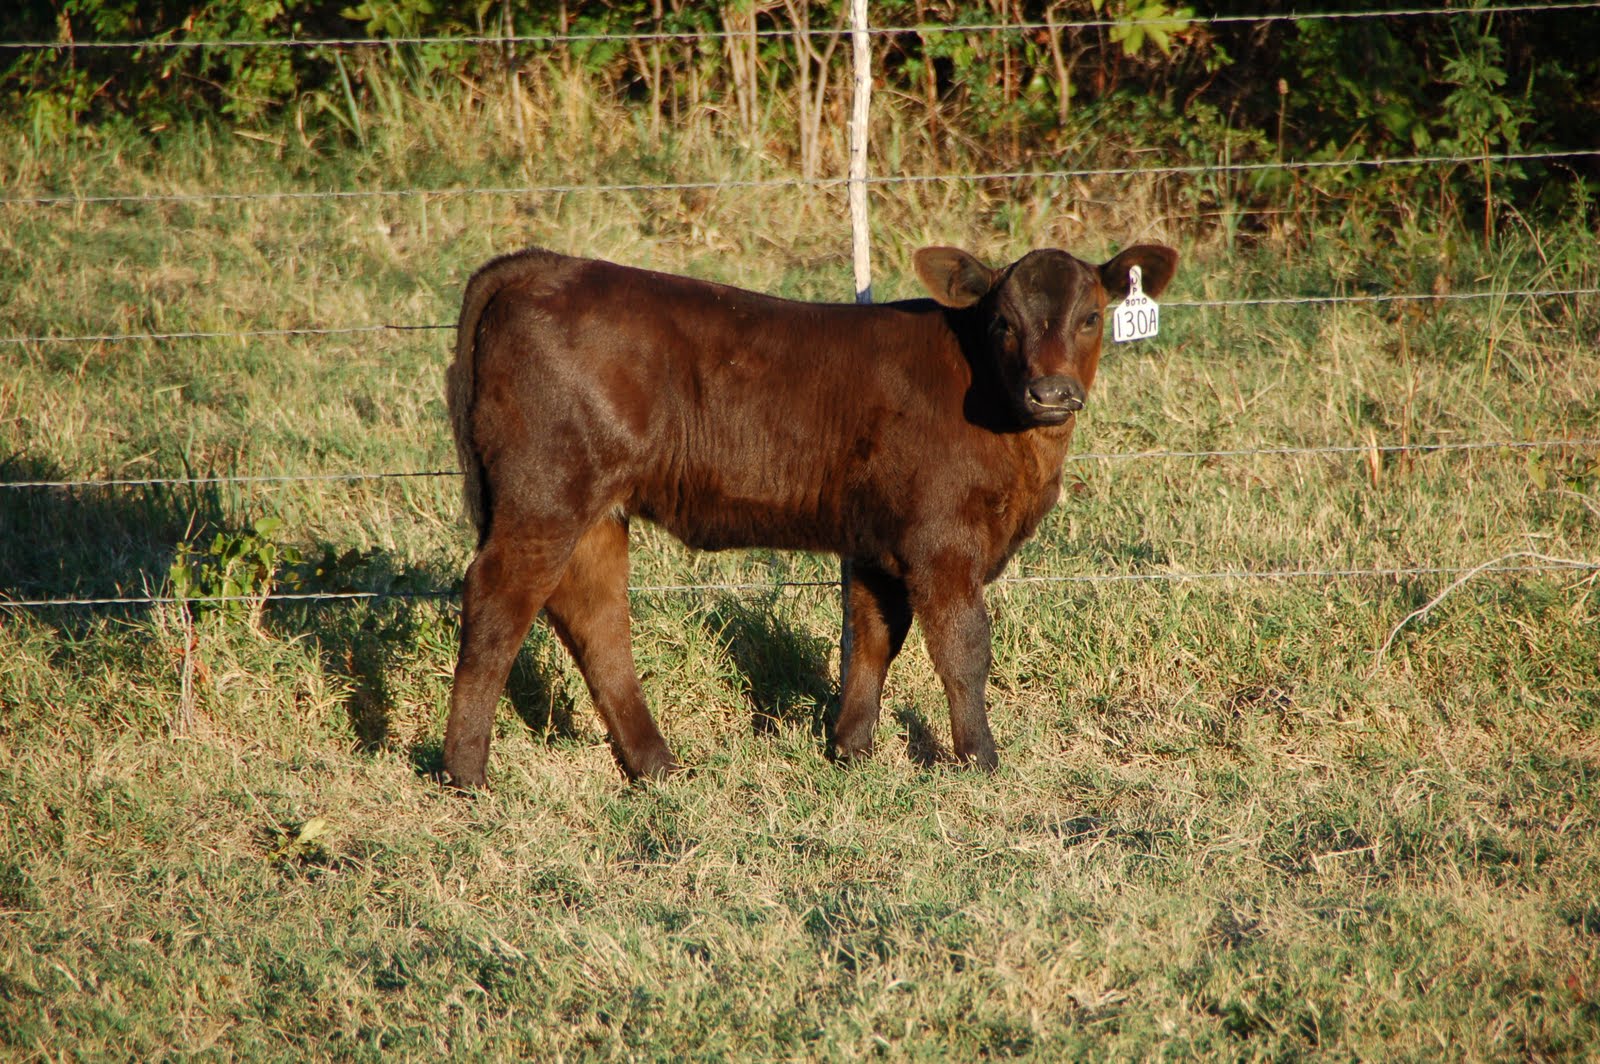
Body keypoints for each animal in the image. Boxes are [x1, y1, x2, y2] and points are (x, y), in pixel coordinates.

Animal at [442, 242, 1178, 787]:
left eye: (1090, 317)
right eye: (1003, 323)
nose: (1051, 392)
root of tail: (546, 263)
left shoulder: (880, 539)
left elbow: (874, 638)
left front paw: (850, 750)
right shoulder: (940, 539)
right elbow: (963, 647)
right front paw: (980, 759)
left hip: (596, 507)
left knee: (593, 615)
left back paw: (656, 766)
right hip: (546, 490)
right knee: (500, 597)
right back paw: (466, 771)